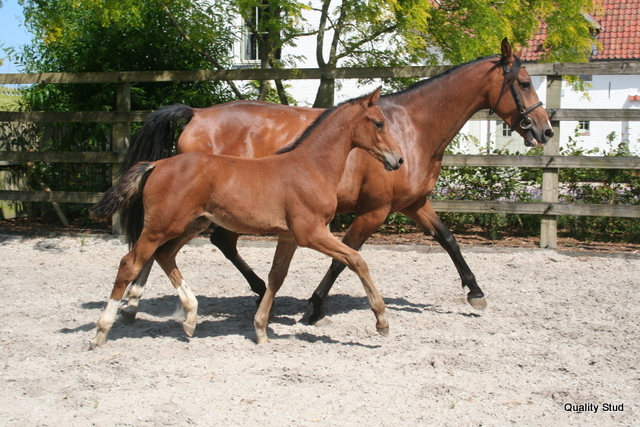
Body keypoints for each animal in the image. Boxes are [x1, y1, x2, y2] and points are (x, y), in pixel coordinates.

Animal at [89, 88, 403, 348]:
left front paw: (261, 329)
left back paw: (190, 318)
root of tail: (157, 164)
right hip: (161, 226)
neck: (310, 167)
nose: (398, 159)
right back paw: (102, 331)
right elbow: (356, 260)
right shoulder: (311, 233)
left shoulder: (289, 235)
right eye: (378, 123)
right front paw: (382, 321)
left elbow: (277, 276)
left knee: (165, 255)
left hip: (192, 223)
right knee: (130, 263)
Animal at [117, 38, 554, 325]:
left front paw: (475, 293)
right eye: (525, 82)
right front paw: (314, 307)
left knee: (192, 245)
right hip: (195, 211)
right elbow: (346, 257)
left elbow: (448, 239)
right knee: (173, 245)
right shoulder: (374, 211)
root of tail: (197, 114)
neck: (411, 127)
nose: (545, 130)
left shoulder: (413, 205)